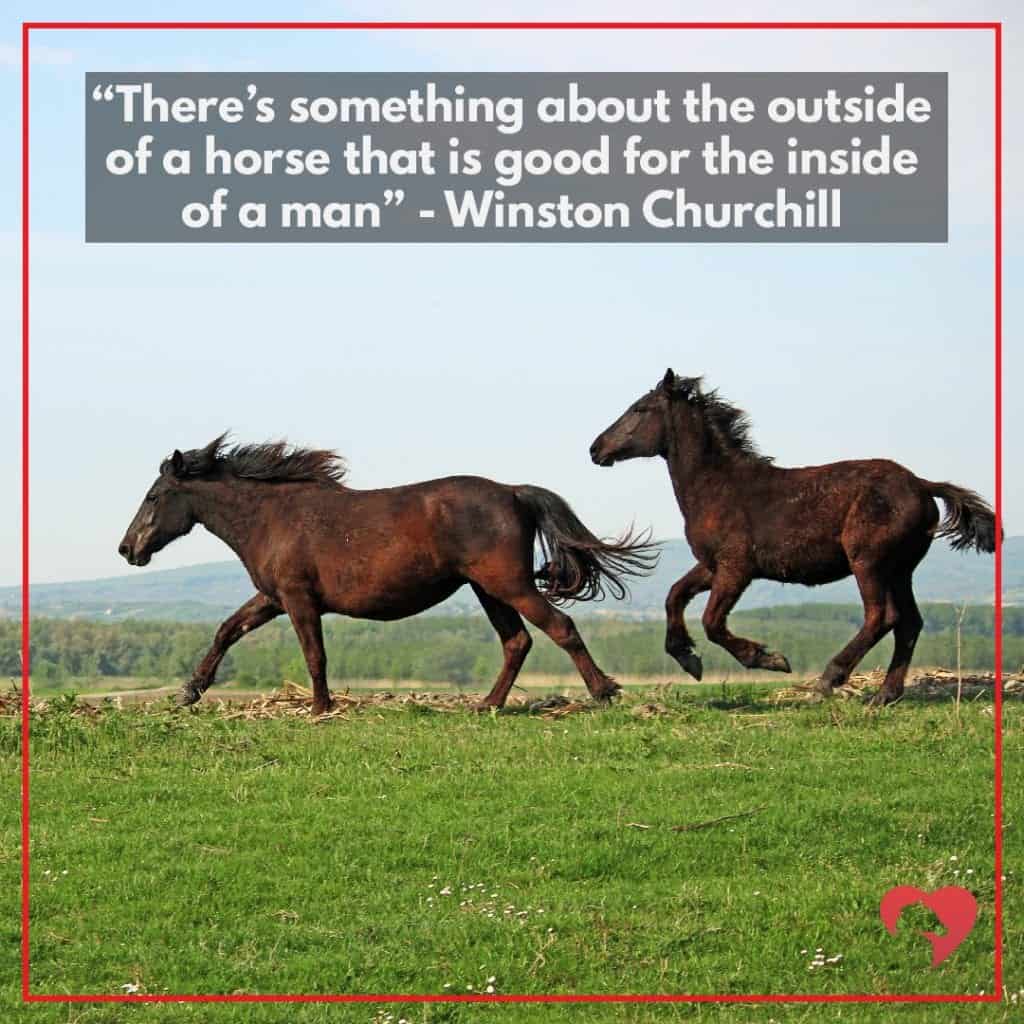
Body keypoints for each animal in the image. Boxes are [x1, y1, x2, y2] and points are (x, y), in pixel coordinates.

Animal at [118, 435, 658, 714]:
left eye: (153, 496)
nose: (127, 549)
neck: (273, 517)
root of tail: (512, 491)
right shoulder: (273, 598)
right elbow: (226, 630)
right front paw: (190, 691)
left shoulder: (297, 599)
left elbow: (314, 655)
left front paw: (320, 708)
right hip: (488, 589)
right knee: (517, 642)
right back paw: (486, 704)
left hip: (509, 584)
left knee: (559, 628)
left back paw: (604, 691)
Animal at [589, 369, 998, 705]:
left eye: (640, 409)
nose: (596, 448)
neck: (718, 486)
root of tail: (922, 485)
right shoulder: (711, 565)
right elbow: (674, 596)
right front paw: (688, 658)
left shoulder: (736, 568)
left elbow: (712, 621)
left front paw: (769, 658)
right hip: (900, 569)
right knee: (909, 623)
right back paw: (884, 695)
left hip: (869, 562)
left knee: (882, 616)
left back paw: (827, 681)